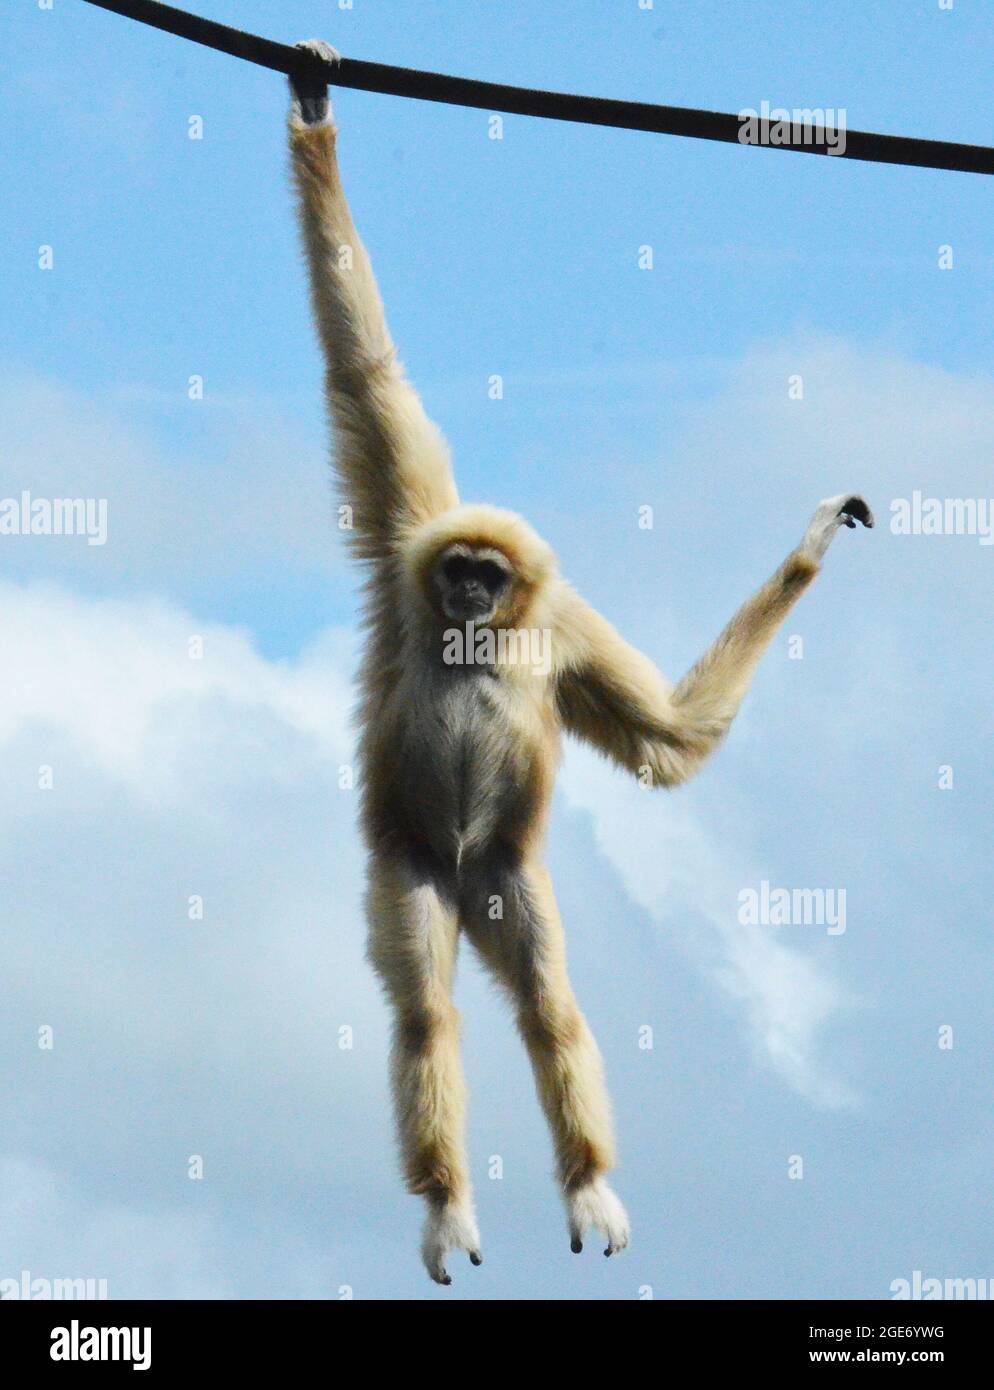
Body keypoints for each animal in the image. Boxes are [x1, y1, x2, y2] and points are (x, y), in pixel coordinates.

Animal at [287, 41, 873, 1285]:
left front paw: (809, 543)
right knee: (430, 1014)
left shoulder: (558, 625)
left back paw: (587, 1180)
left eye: (487, 576)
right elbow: (365, 375)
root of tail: (466, 871)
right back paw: (449, 1200)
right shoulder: (406, 539)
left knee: (550, 1006)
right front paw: (312, 113)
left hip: (509, 872)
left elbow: (667, 738)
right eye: (456, 570)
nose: (466, 592)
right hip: (413, 864)